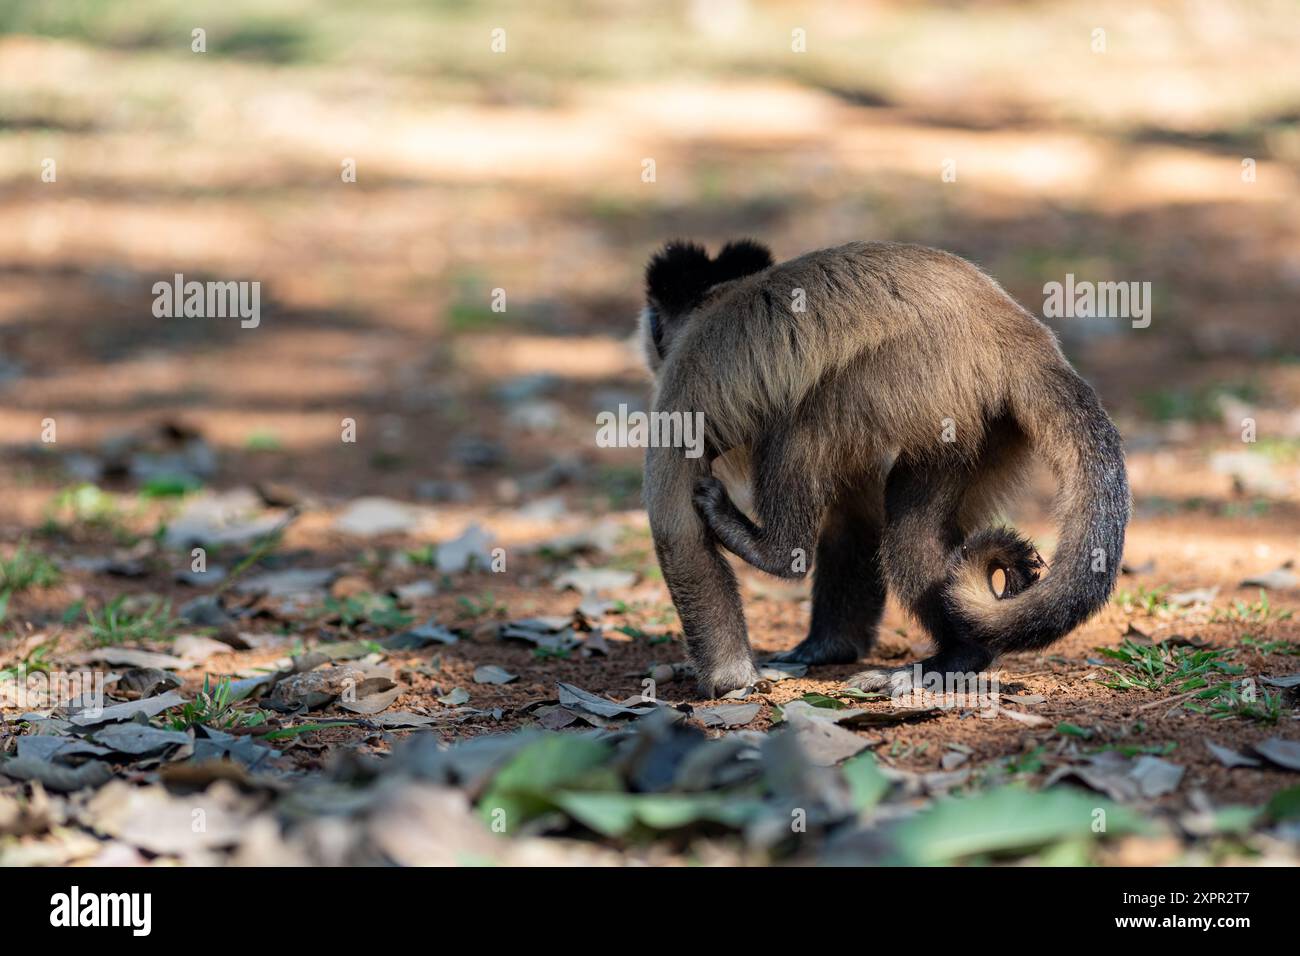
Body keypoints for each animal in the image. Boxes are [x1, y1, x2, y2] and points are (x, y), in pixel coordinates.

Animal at [639, 238, 1129, 697]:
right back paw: (957, 656)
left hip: (918, 375)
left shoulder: (683, 377)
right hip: (982, 424)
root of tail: (1020, 334)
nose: (650, 339)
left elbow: (676, 532)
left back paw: (777, 553)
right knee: (912, 527)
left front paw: (729, 681)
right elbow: (856, 522)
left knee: (804, 425)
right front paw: (828, 650)